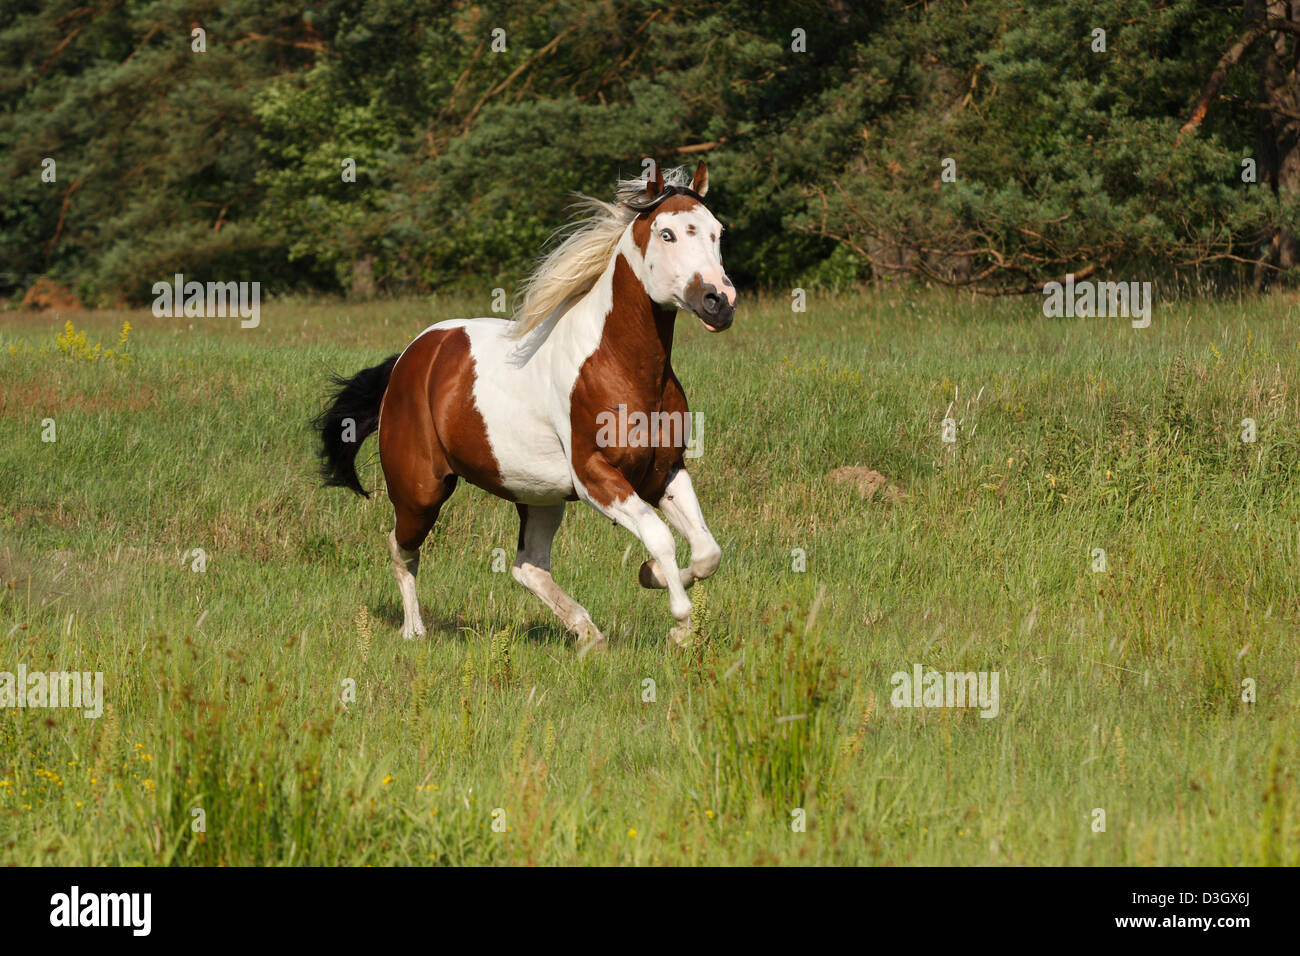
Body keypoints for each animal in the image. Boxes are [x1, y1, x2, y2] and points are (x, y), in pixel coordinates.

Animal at [313, 161, 735, 650]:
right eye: (667, 234)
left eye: (717, 232)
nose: (720, 303)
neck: (622, 366)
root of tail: (410, 358)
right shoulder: (596, 478)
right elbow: (660, 536)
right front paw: (680, 622)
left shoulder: (665, 471)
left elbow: (707, 551)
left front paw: (652, 579)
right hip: (421, 491)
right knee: (401, 548)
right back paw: (414, 631)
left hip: (539, 494)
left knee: (528, 566)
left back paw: (587, 633)